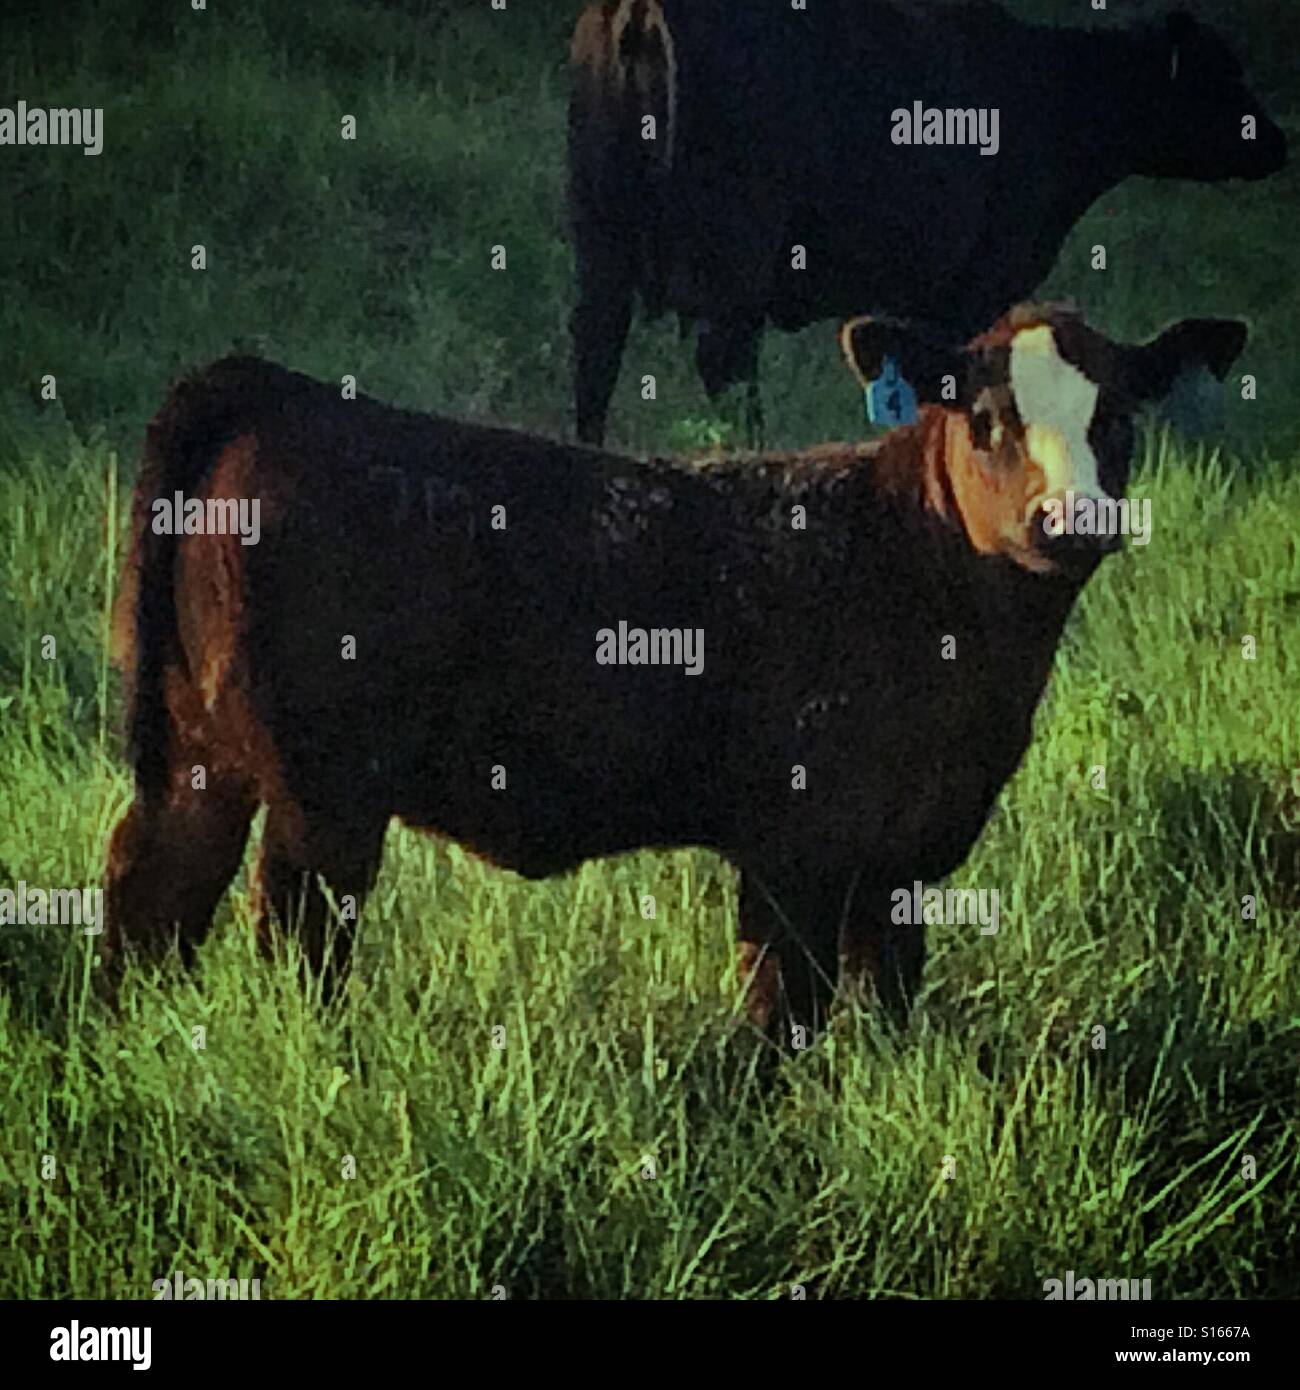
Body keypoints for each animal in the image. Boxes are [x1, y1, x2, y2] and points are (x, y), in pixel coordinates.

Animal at [104, 303, 1245, 1044]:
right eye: (987, 417)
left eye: (1116, 419)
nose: (1072, 518)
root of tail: (279, 392)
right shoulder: (799, 846)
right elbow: (781, 1015)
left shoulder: (901, 855)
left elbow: (886, 1004)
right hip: (323, 793)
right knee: (293, 936)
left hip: (201, 764)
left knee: (148, 896)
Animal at [568, 0, 1285, 445]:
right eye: (1220, 76)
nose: (1277, 142)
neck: (1051, 93)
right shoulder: (970, 288)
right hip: (737, 254)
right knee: (726, 364)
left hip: (601, 242)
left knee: (595, 354)